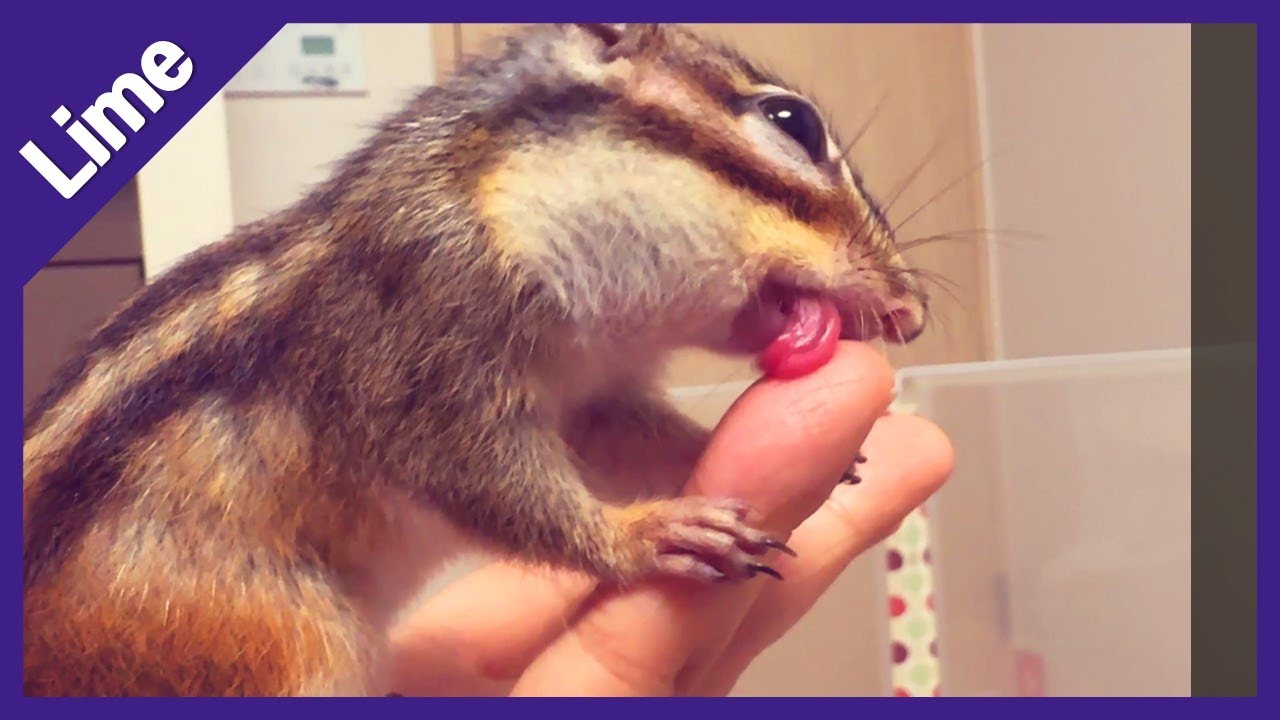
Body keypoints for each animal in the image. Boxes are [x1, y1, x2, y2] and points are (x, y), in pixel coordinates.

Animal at [22, 23, 928, 696]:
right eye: (791, 123)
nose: (912, 314)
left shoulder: (589, 399)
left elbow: (631, 440)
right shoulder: (419, 342)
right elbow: (481, 481)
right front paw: (642, 537)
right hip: (282, 641)